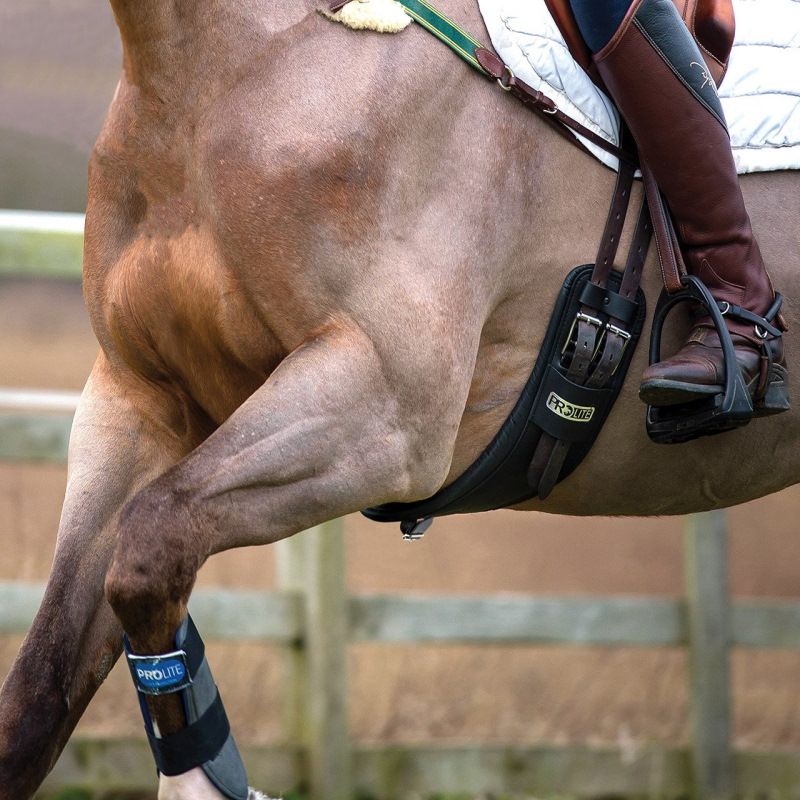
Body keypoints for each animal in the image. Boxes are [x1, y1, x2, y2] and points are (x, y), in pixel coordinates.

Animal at [1, 0, 798, 797]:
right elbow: (41, 688)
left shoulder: (382, 413)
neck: (234, 69)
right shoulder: (136, 403)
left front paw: (200, 781)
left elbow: (150, 543)